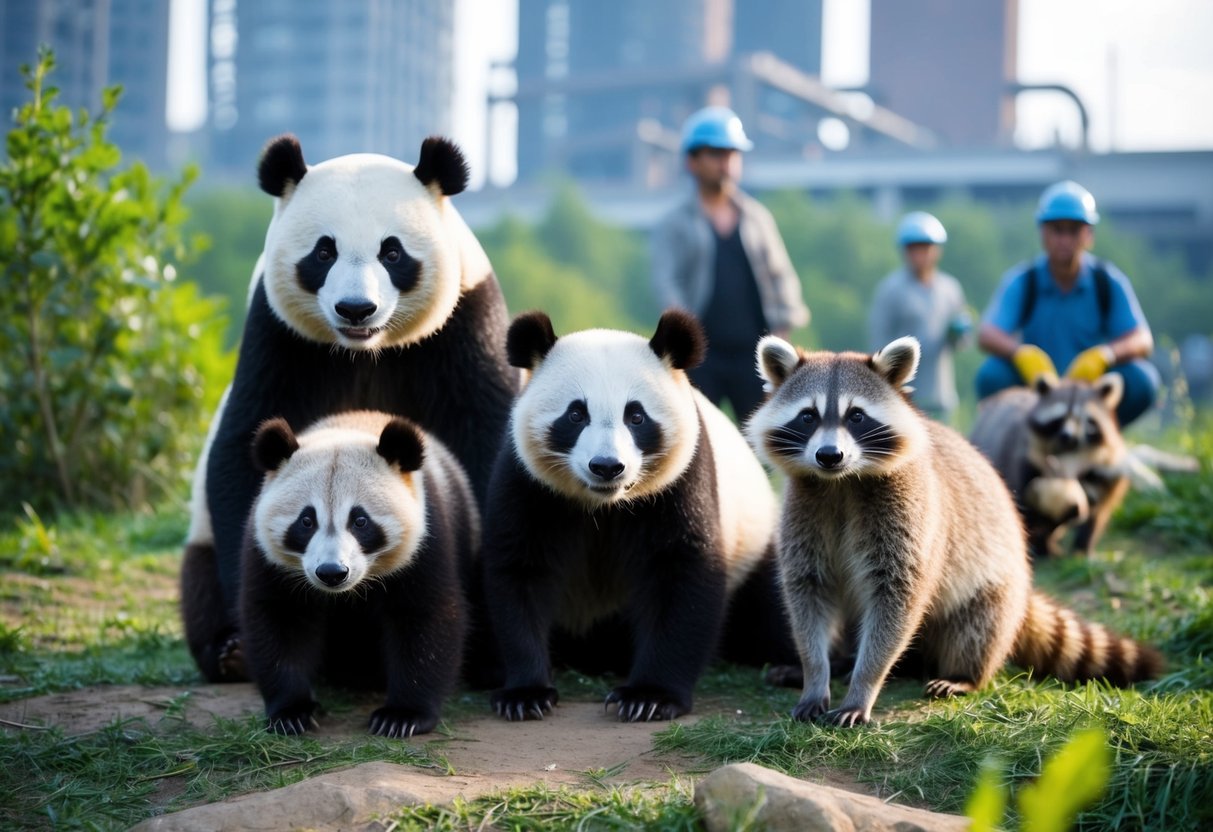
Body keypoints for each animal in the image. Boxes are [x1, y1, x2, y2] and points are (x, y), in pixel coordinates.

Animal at [181, 135, 516, 683]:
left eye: (392, 251)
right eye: (323, 251)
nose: (356, 309)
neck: (366, 350)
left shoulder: (461, 325)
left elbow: (485, 437)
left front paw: (490, 646)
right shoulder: (281, 337)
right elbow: (245, 443)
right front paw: (253, 635)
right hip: (201, 538)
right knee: (200, 579)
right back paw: (229, 654)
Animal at [240, 410, 477, 738]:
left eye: (360, 521)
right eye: (306, 521)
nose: (332, 572)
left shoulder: (427, 539)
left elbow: (426, 617)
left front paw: (401, 717)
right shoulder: (269, 558)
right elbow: (280, 619)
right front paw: (292, 713)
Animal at [482, 309, 796, 723]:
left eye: (636, 416)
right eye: (575, 414)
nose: (607, 466)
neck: (604, 505)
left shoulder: (680, 483)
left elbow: (681, 573)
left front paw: (648, 698)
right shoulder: (529, 483)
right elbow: (518, 569)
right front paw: (525, 694)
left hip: (755, 549)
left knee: (777, 608)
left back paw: (791, 669)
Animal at [970, 374, 1129, 558]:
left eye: (1086, 420)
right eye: (1059, 419)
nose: (1068, 436)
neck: (1070, 459)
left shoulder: (1105, 465)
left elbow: (1100, 507)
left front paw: (1084, 545)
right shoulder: (1024, 456)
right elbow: (1027, 505)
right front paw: (1040, 543)